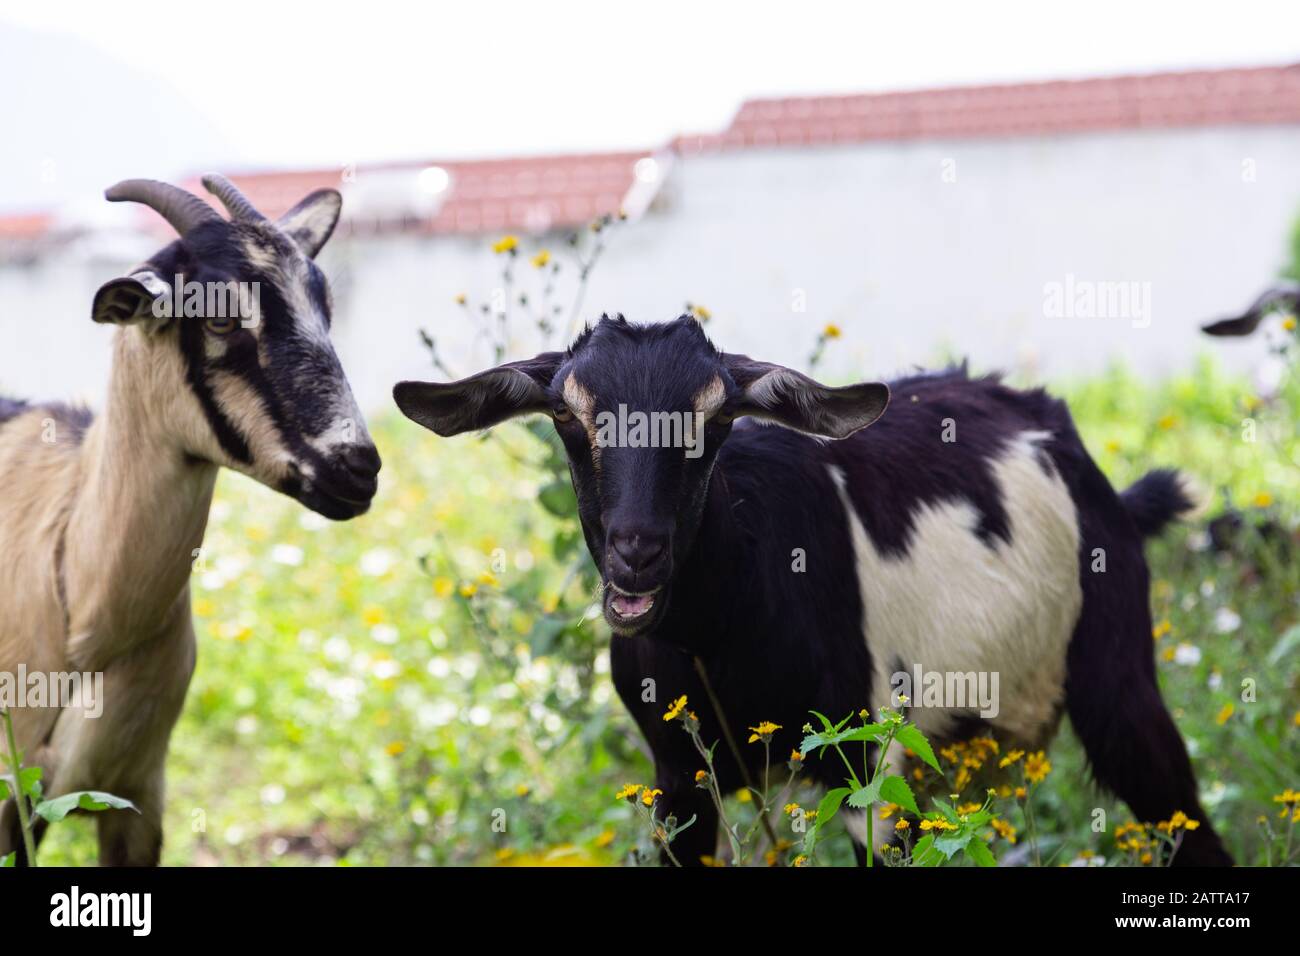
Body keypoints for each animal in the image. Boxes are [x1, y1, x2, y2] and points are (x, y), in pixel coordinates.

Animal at [394, 314, 1232, 866]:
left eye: (714, 419)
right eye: (569, 417)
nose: (638, 552)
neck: (719, 634)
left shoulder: (867, 761)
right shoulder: (678, 778)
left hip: (1116, 672)